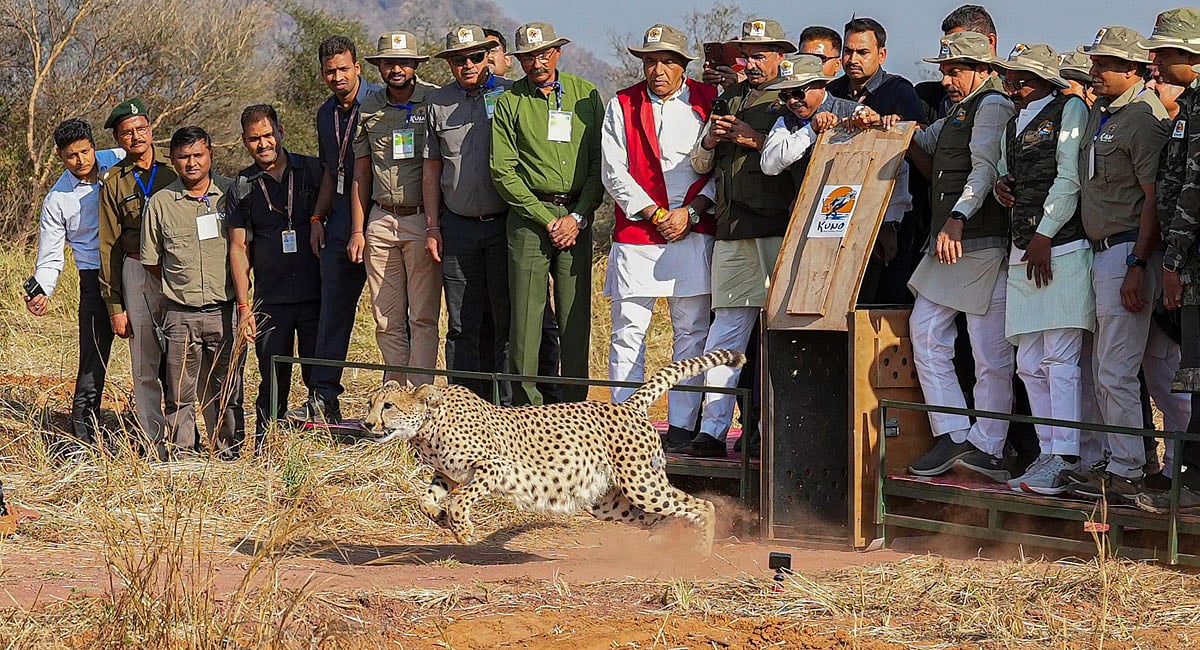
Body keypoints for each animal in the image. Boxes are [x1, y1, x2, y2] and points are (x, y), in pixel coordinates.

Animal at [362, 349, 746, 556]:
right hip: (608, 501)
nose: (366, 423)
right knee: (663, 516)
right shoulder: (447, 474)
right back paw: (664, 544)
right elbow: (425, 499)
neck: (428, 426)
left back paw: (700, 553)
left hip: (640, 483)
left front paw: (462, 529)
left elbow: (460, 499)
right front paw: (441, 518)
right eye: (370, 404)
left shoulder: (495, 467)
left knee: (701, 505)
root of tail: (627, 405)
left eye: (388, 406)